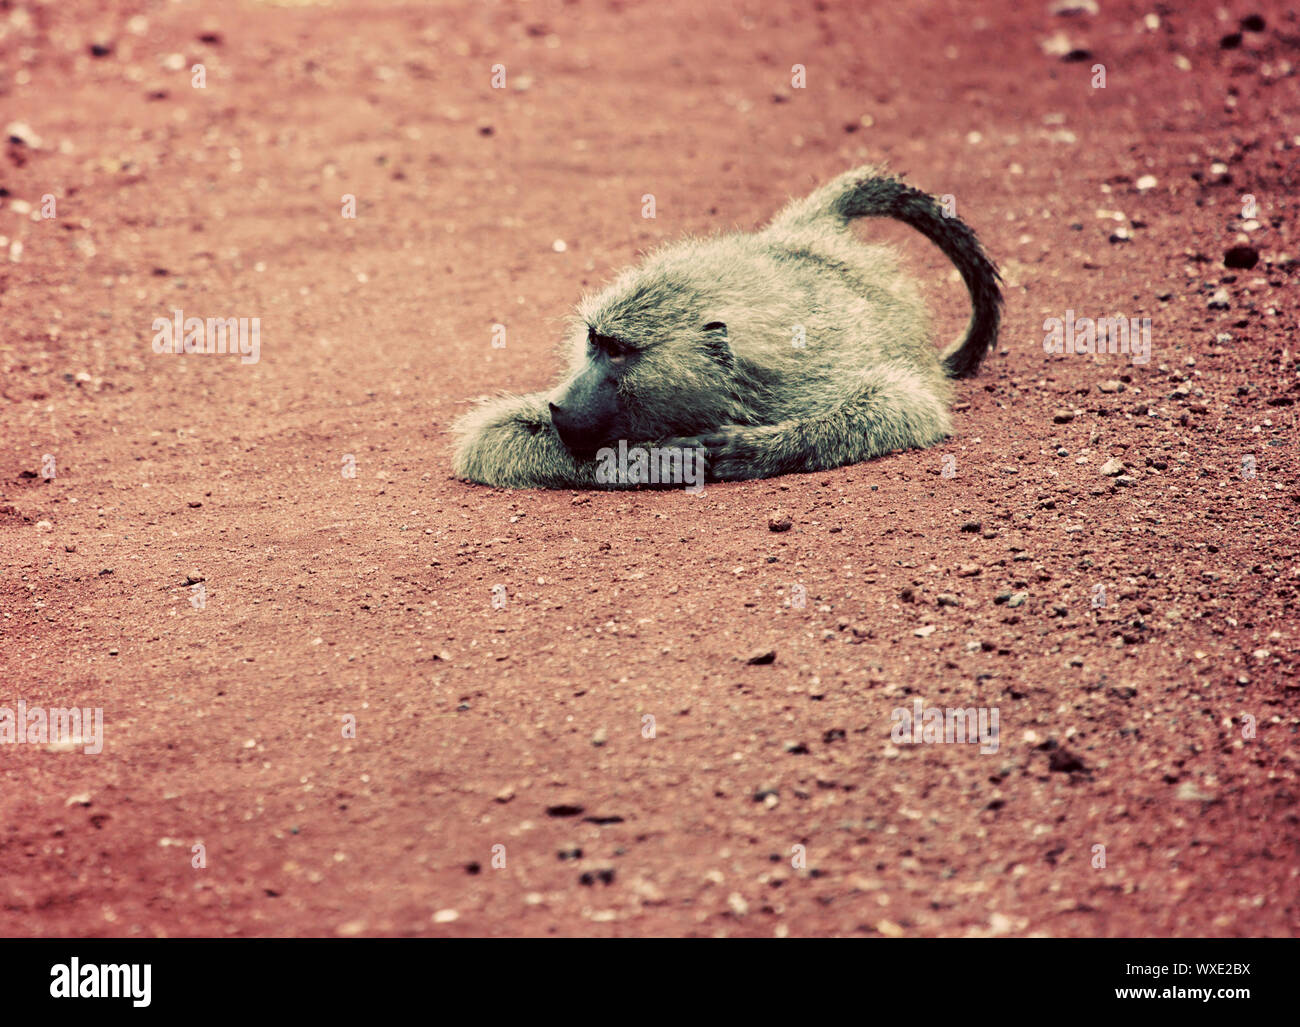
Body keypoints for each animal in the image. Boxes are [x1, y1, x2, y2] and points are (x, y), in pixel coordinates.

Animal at [452, 164, 1001, 488]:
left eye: (618, 351)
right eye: (594, 341)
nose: (560, 404)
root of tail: (803, 239)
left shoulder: (799, 386)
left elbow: (904, 406)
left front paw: (753, 449)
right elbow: (491, 436)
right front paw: (651, 459)